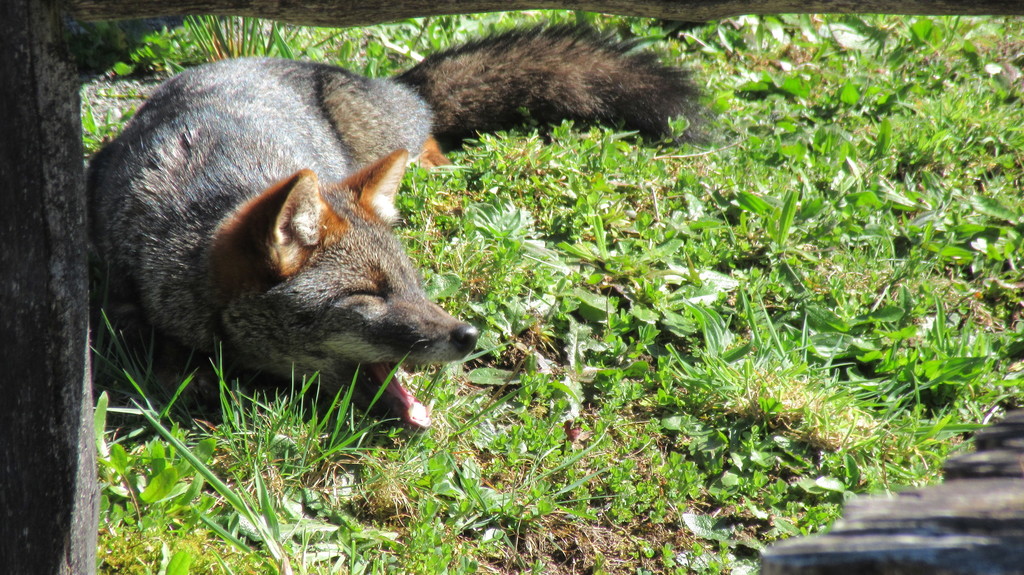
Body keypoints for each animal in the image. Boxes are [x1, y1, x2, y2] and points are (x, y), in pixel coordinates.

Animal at [88, 26, 705, 428]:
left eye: (412, 285)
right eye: (369, 294)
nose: (469, 336)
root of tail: (385, 81)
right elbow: (151, 346)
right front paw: (178, 373)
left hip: (392, 137)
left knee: (429, 136)